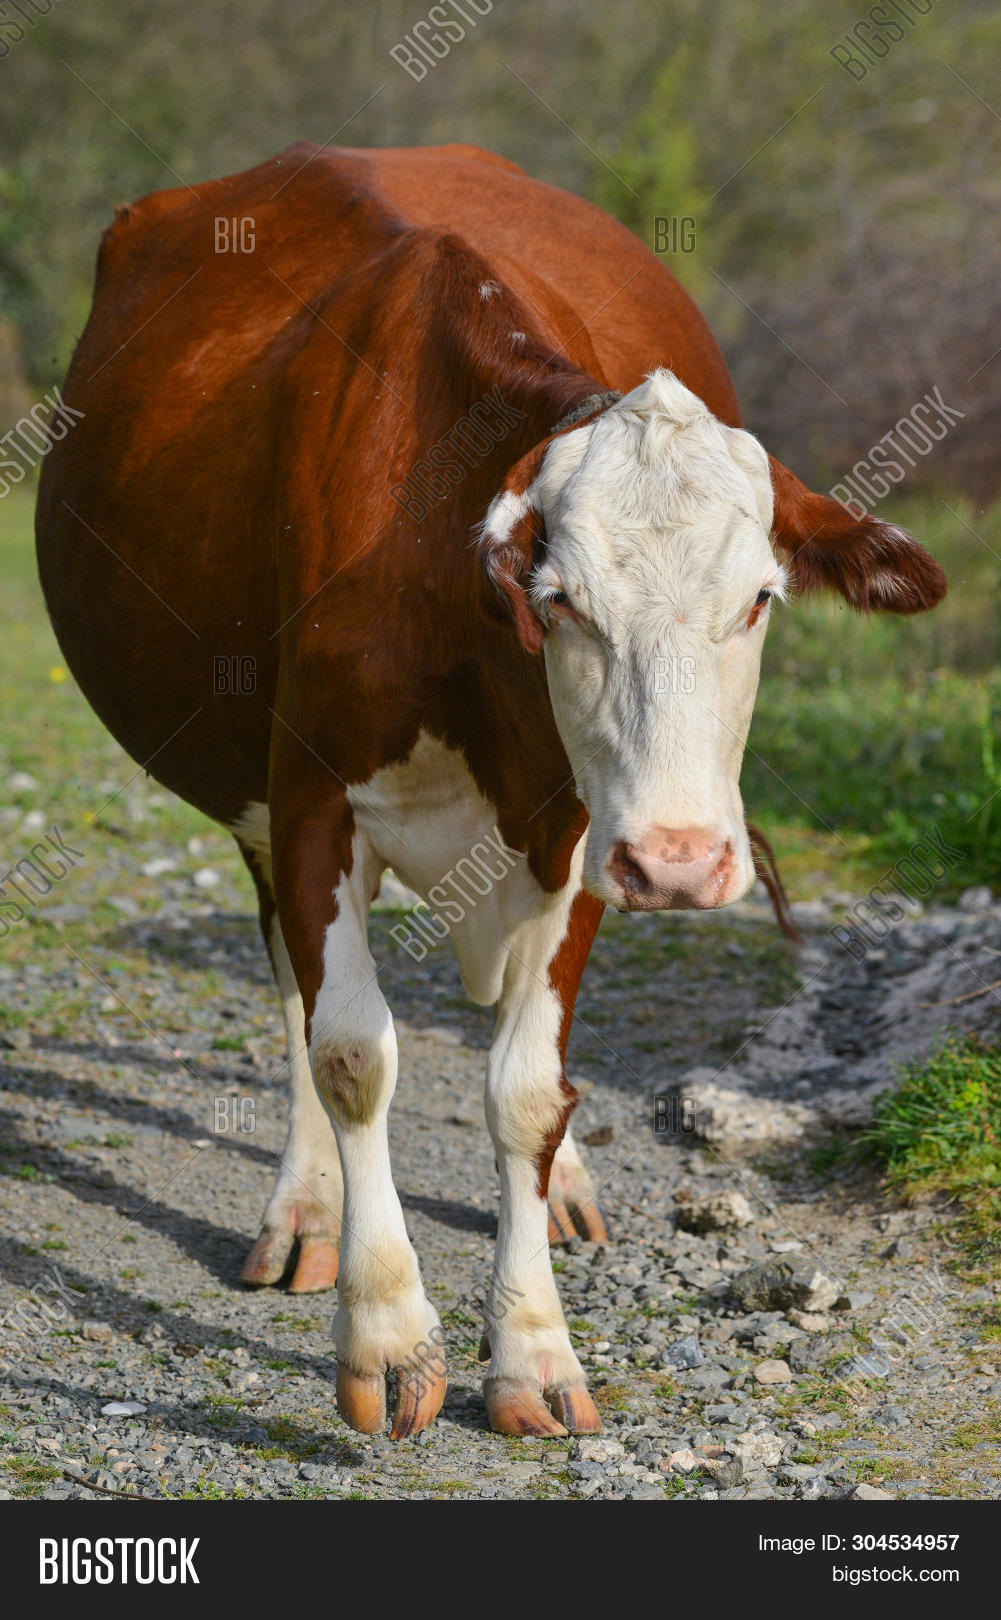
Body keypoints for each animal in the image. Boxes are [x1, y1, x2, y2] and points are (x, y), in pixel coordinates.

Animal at [35, 142, 946, 1440]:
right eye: (557, 599)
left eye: (760, 598)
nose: (680, 861)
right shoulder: (308, 802)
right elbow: (351, 1052)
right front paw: (385, 1337)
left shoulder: (584, 834)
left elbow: (527, 1091)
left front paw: (531, 1348)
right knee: (291, 996)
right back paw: (303, 1208)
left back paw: (560, 1190)